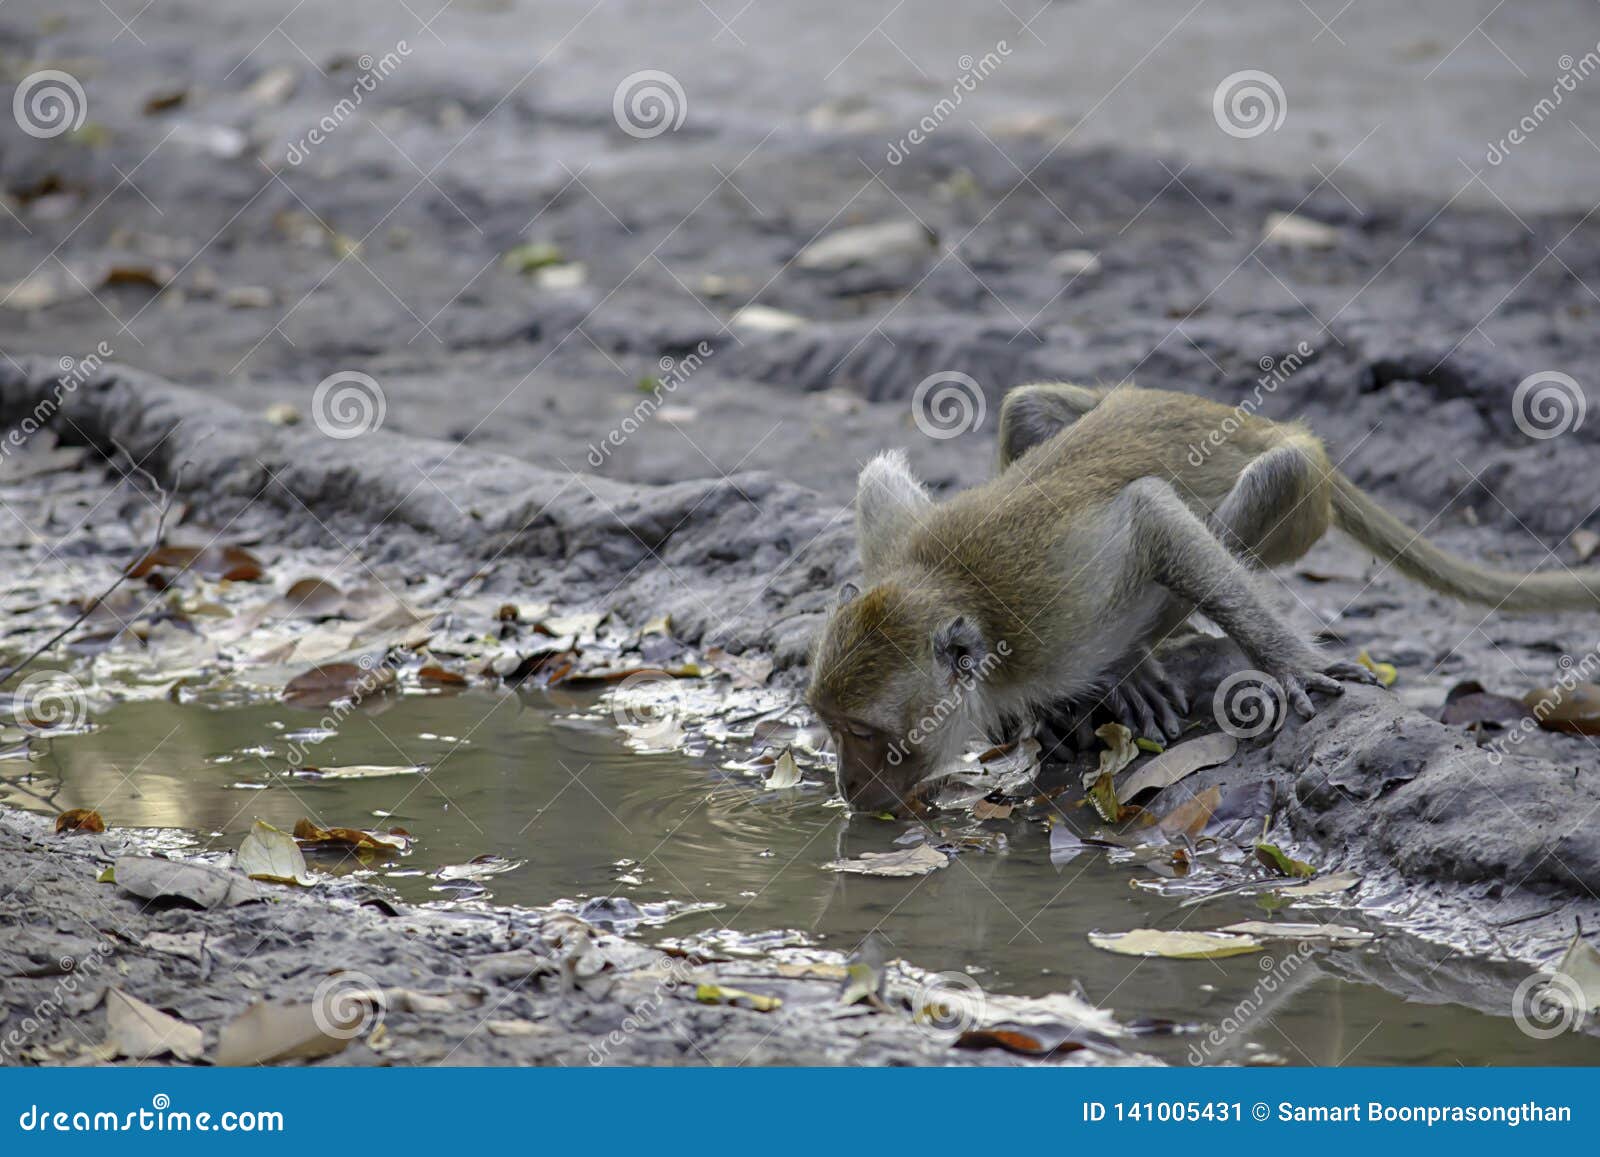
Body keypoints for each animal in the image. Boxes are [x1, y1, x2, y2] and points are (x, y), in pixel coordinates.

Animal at [806, 382, 1600, 814]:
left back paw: (1138, 663)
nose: (846, 784)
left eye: (867, 736)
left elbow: (1152, 516)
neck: (955, 593)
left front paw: (1283, 664)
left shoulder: (1050, 617)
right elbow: (878, 478)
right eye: (829, 727)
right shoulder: (895, 550)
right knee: (1026, 408)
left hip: (1300, 491)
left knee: (1266, 481)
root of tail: (1258, 419)